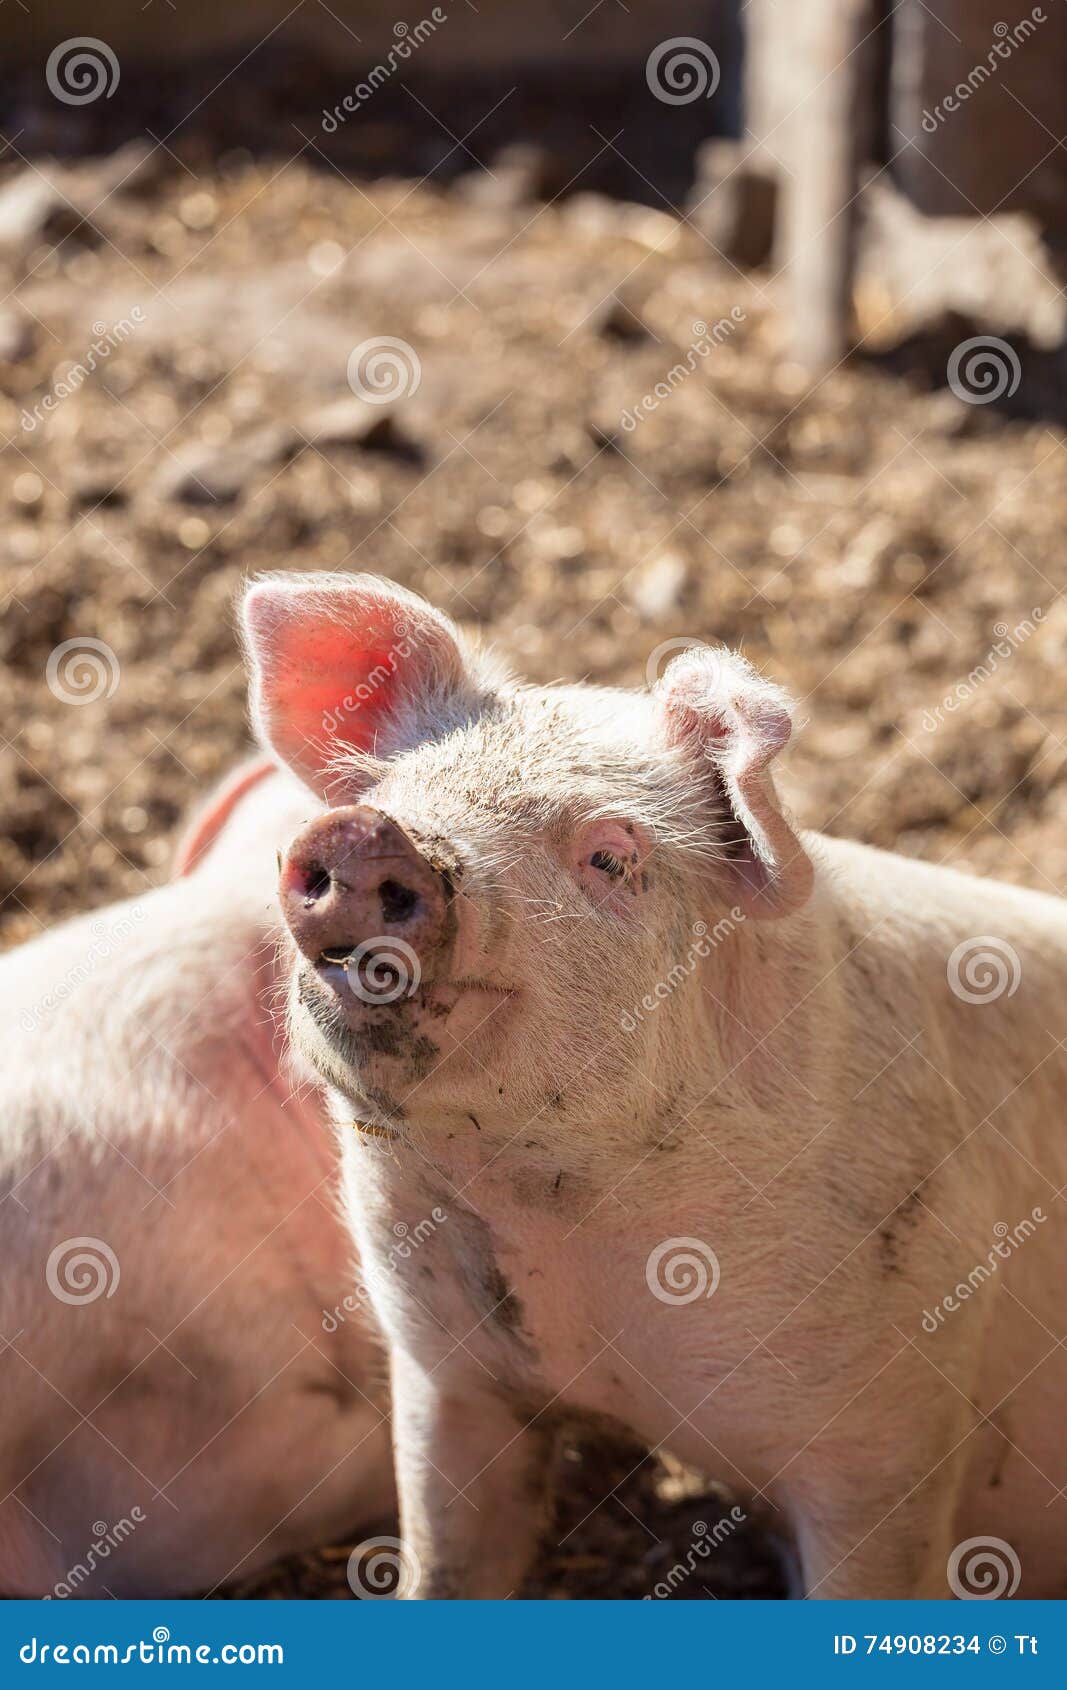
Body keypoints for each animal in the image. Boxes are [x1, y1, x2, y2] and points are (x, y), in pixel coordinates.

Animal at [243, 569, 1067, 1600]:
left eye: (610, 855)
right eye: (393, 791)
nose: (363, 833)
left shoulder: (899, 1425)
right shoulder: (445, 1372)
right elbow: (444, 1553)